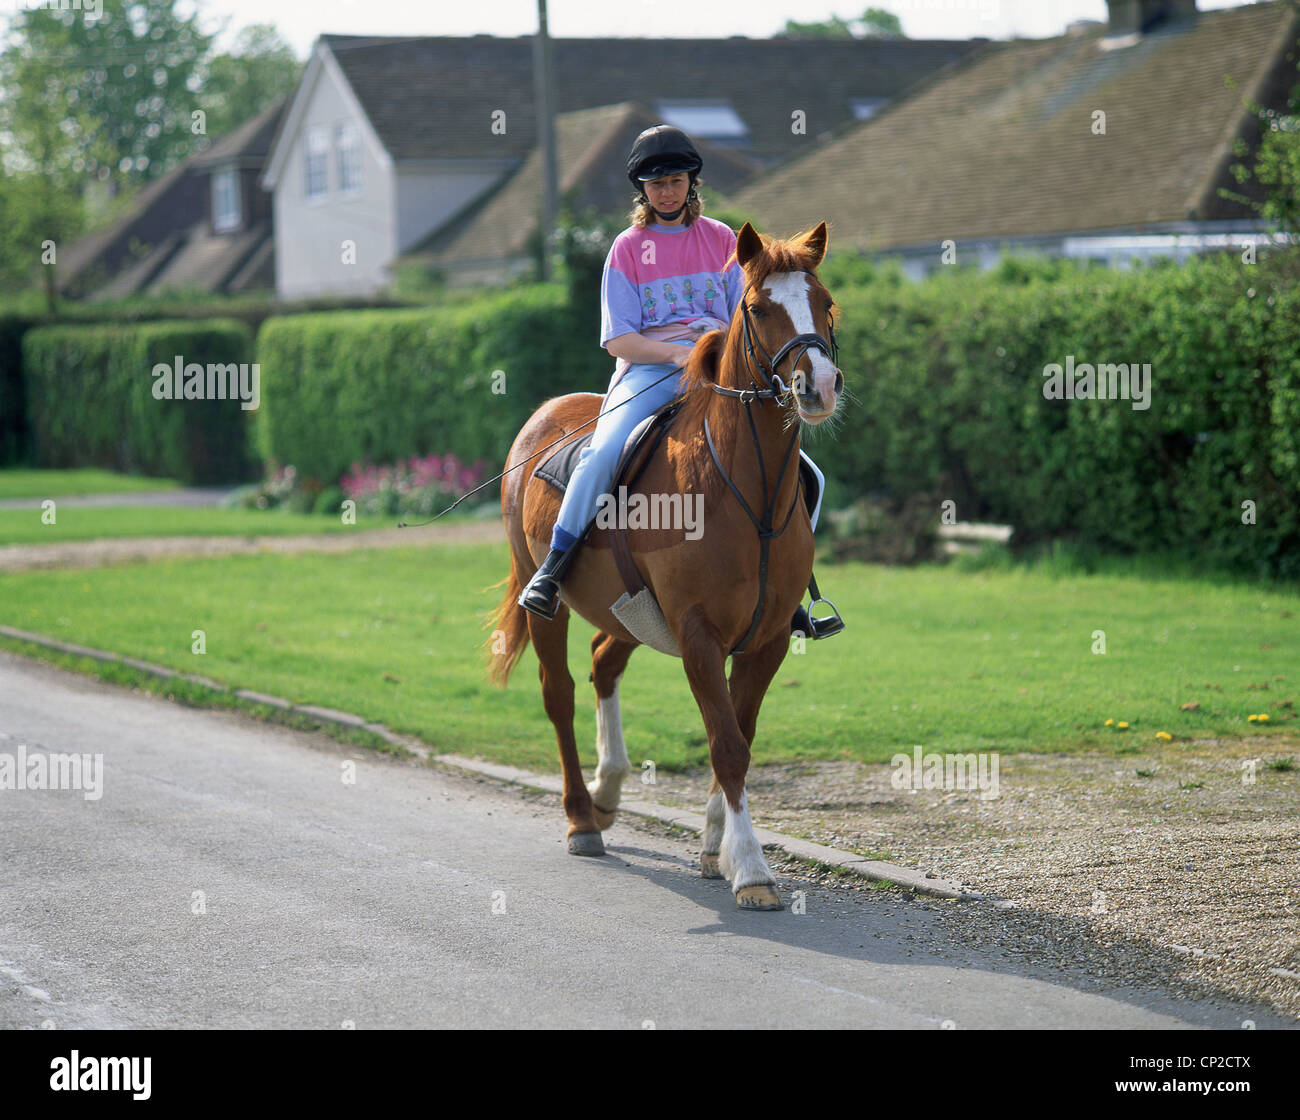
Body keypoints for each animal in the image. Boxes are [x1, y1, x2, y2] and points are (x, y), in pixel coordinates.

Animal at [486, 221, 844, 910]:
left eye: (825, 301)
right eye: (759, 309)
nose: (819, 385)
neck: (744, 492)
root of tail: (543, 416)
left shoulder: (765, 639)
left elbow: (740, 735)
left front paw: (714, 848)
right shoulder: (699, 634)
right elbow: (727, 746)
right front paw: (751, 870)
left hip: (628, 614)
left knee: (603, 664)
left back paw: (607, 792)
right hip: (552, 610)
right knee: (560, 693)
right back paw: (581, 817)